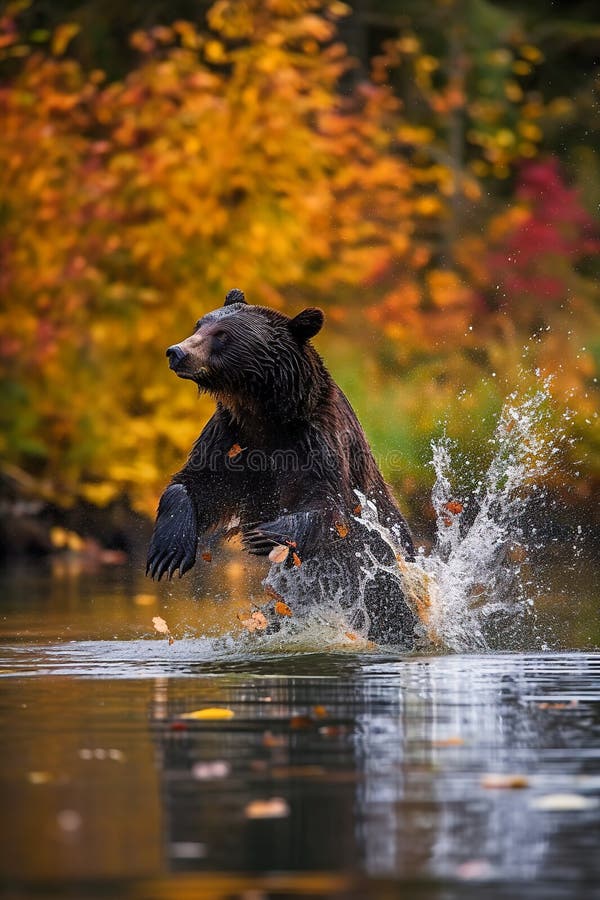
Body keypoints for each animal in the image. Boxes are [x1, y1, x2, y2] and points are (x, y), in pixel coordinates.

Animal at [146, 289, 417, 645]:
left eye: (223, 335)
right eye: (199, 324)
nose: (176, 352)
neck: (263, 413)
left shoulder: (315, 440)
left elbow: (328, 504)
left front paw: (263, 536)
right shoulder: (231, 441)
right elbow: (194, 483)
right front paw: (168, 550)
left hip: (380, 579)